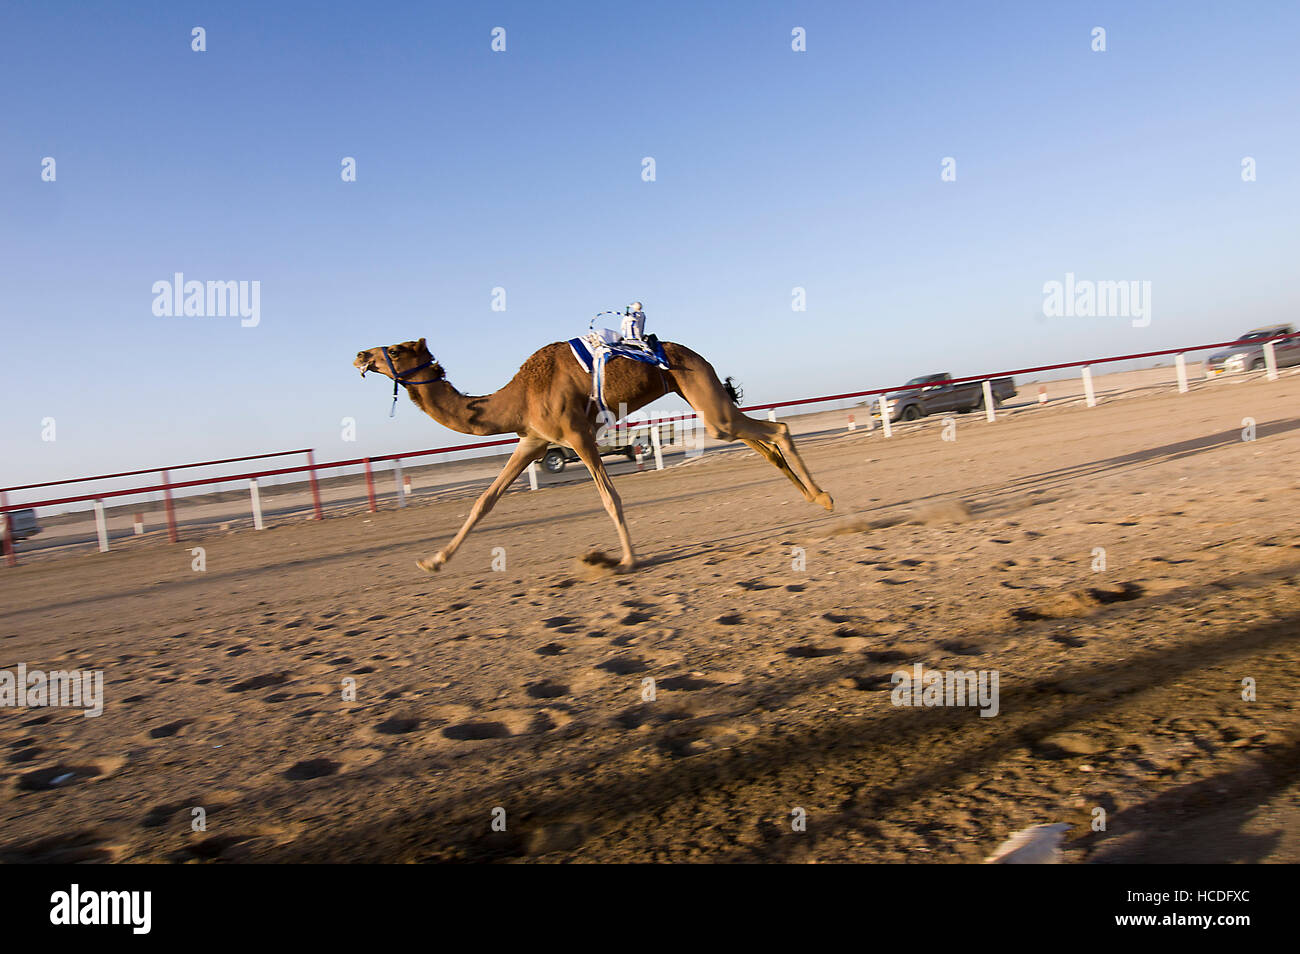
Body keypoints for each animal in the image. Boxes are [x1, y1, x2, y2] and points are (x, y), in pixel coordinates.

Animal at [354, 337, 833, 573]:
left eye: (393, 349)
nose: (359, 354)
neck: (516, 398)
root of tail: (695, 354)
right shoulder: (533, 440)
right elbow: (483, 501)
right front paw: (433, 560)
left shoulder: (577, 435)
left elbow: (610, 498)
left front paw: (625, 560)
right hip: (702, 397)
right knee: (755, 438)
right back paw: (812, 496)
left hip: (700, 388)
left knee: (777, 429)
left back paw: (825, 497)